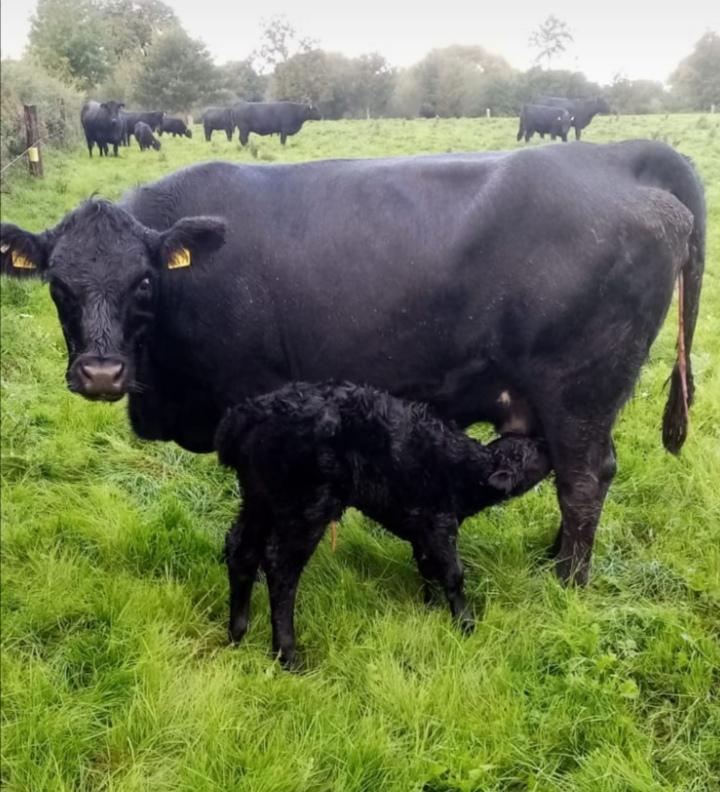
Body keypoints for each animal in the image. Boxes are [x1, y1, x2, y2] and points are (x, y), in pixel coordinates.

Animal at [0, 140, 705, 587]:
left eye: (143, 282)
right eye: (57, 285)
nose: (101, 374)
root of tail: (613, 157)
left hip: (579, 392)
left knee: (585, 480)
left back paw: (565, 582)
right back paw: (549, 559)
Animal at [217, 380, 551, 666]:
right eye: (533, 452)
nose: (546, 441)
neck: (460, 470)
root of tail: (244, 418)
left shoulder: (421, 528)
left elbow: (428, 568)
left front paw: (431, 610)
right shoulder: (439, 520)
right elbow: (453, 573)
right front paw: (466, 625)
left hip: (259, 497)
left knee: (241, 550)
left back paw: (237, 633)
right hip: (305, 504)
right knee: (281, 568)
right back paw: (288, 655)